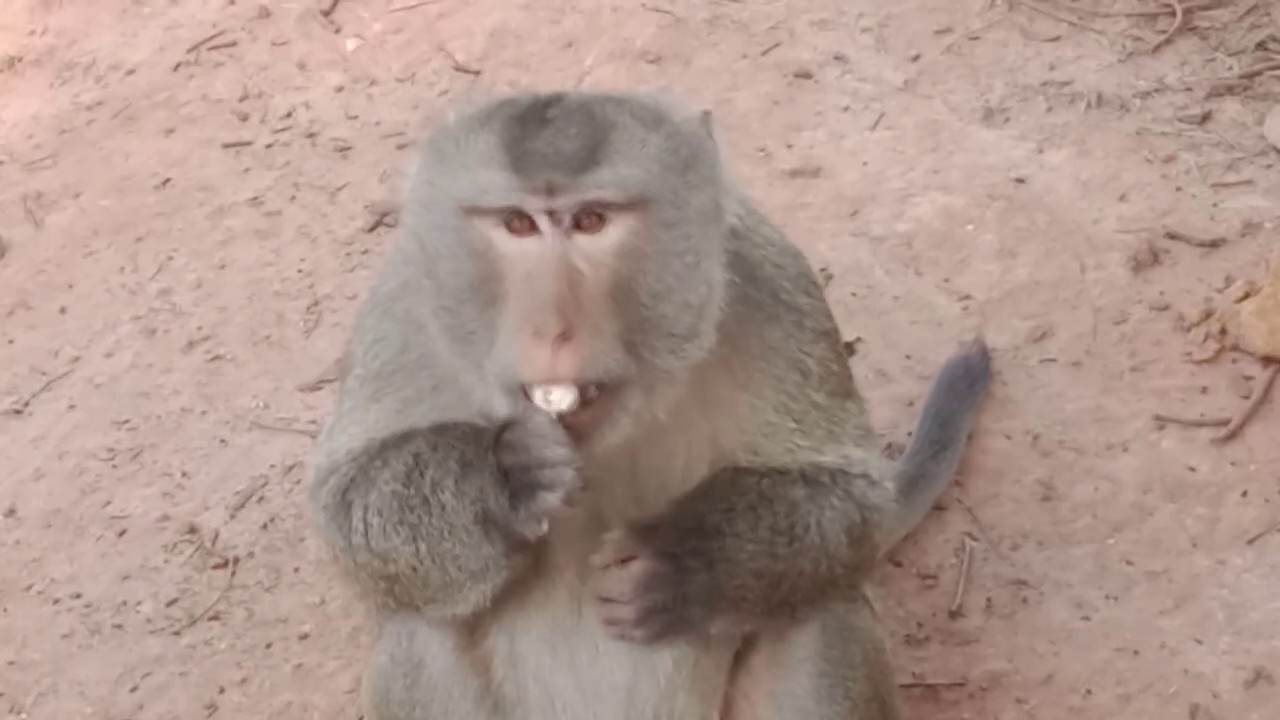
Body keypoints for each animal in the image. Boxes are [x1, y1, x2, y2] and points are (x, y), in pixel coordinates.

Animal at [309, 90, 992, 720]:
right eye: (518, 224)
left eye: (591, 220)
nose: (552, 327)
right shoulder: (407, 294)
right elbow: (348, 506)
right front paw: (504, 476)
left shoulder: (771, 278)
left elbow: (850, 502)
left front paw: (686, 558)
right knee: (422, 623)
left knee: (817, 610)